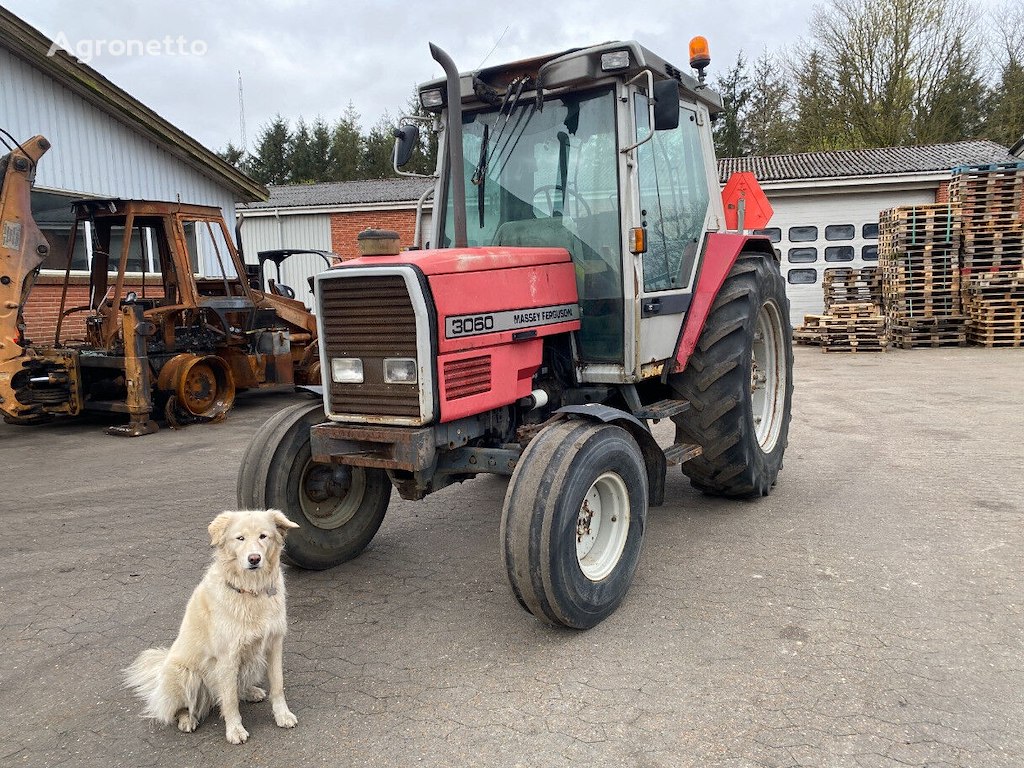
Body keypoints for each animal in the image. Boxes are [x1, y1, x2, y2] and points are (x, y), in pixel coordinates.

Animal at [123, 512, 299, 745]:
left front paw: (282, 715)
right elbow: (230, 700)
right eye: (240, 538)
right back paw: (187, 719)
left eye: (263, 536)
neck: (250, 590)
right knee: (181, 708)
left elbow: (278, 686)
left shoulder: (273, 646)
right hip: (185, 675)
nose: (254, 559)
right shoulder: (227, 658)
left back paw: (250, 692)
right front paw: (234, 730)